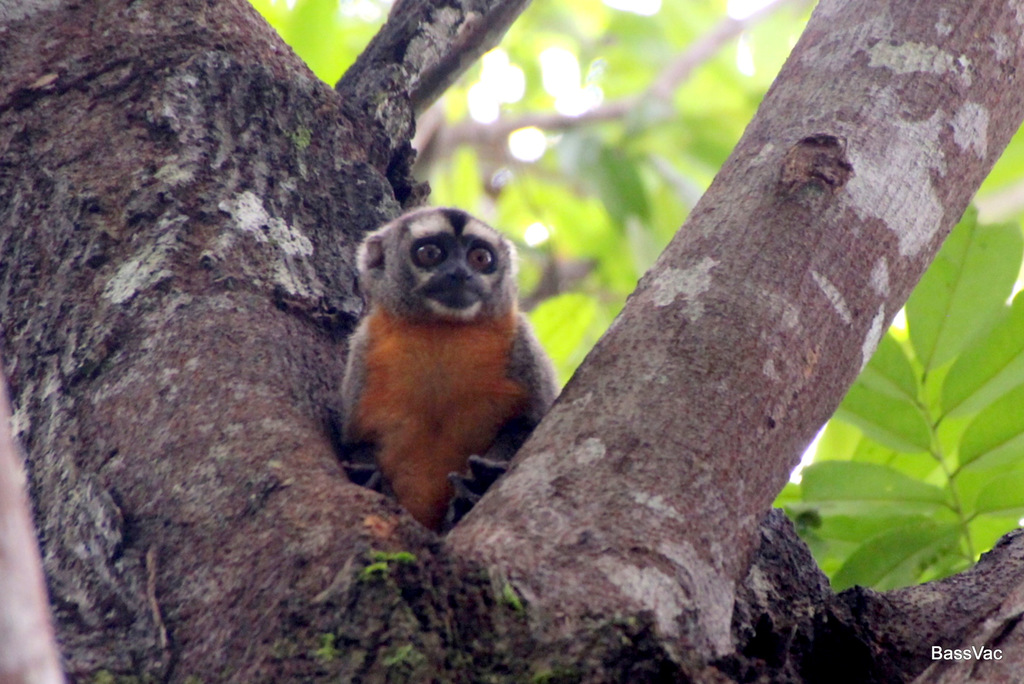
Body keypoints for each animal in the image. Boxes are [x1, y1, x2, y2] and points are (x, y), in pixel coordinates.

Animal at [340, 207, 558, 531]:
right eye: (430, 253)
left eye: (480, 258)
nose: (461, 273)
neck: (442, 330)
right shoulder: (364, 350)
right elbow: (356, 442)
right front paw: (372, 480)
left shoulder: (521, 343)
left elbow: (529, 422)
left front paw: (482, 475)